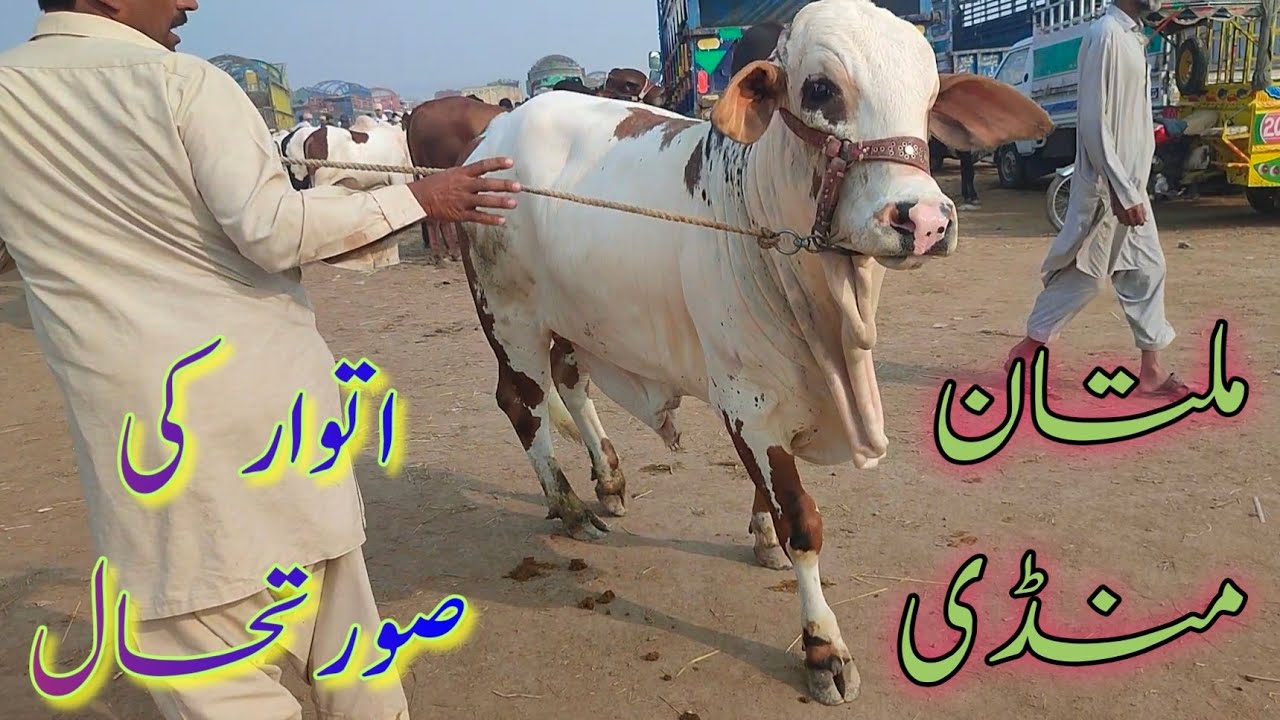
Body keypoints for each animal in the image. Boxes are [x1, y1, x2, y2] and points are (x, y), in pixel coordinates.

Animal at [454, 0, 1051, 705]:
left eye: (929, 99)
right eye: (819, 89)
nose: (927, 220)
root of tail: (494, 130)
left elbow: (765, 496)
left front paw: (760, 534)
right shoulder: (751, 402)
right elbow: (802, 522)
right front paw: (823, 648)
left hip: (570, 316)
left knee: (570, 382)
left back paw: (609, 479)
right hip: (509, 314)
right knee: (522, 402)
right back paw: (569, 505)